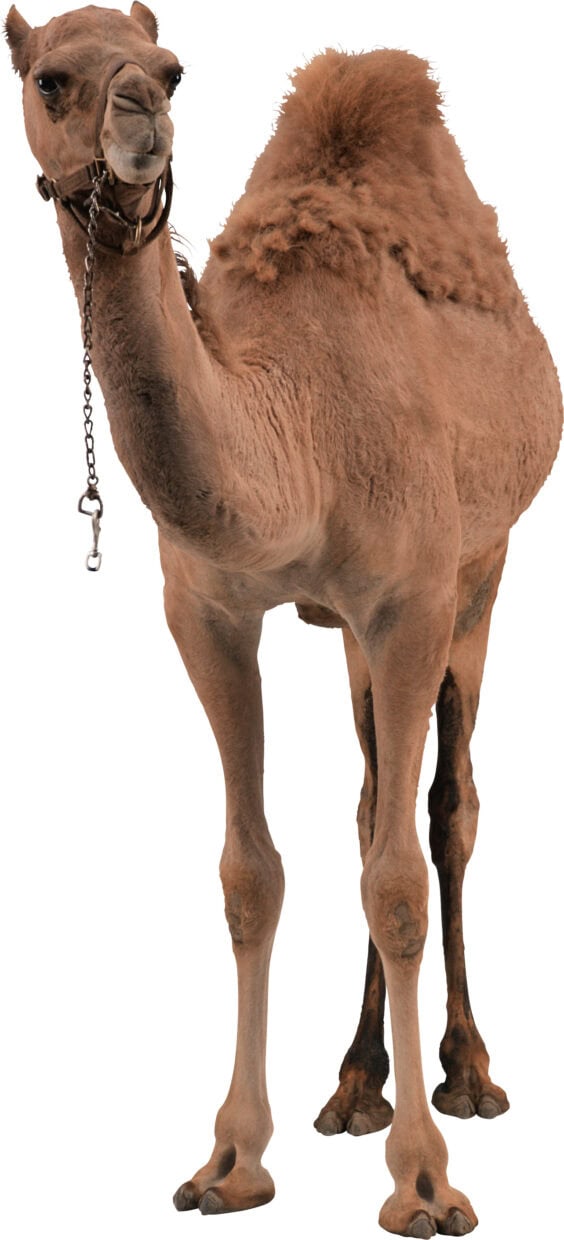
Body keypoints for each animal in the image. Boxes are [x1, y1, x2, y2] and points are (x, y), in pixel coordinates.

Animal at [5, 3, 562, 1236]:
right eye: (52, 78)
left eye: (171, 70)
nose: (140, 118)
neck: (299, 425)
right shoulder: (209, 612)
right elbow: (250, 872)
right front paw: (230, 1159)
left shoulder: (411, 597)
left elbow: (402, 876)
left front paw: (425, 1181)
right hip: (353, 632)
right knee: (367, 803)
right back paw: (353, 1084)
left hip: (482, 570)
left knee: (446, 809)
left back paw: (467, 1072)